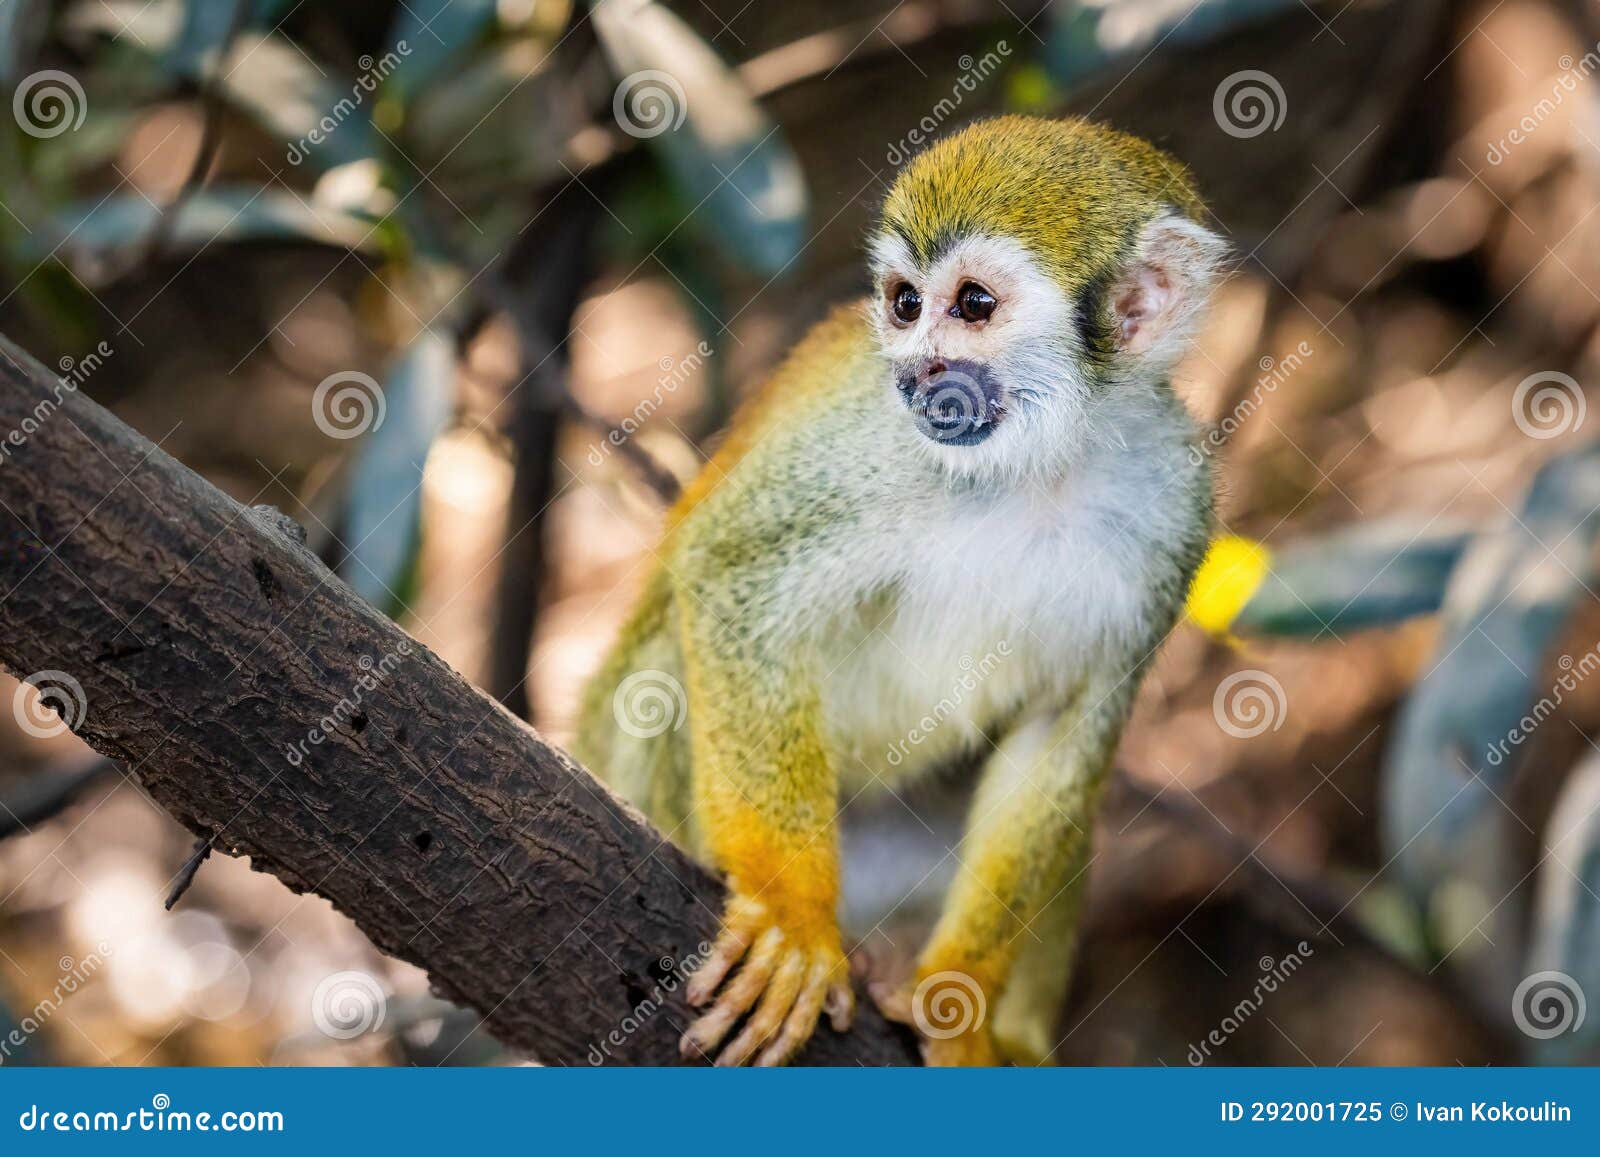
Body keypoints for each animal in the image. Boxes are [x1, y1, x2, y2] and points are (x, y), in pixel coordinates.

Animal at [574, 115, 1226, 1066]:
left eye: (975, 304)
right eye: (906, 304)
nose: (917, 374)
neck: (1039, 460)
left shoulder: (1175, 512)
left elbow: (1066, 721)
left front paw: (960, 998)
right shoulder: (867, 441)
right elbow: (734, 570)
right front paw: (792, 917)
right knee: (664, 663)